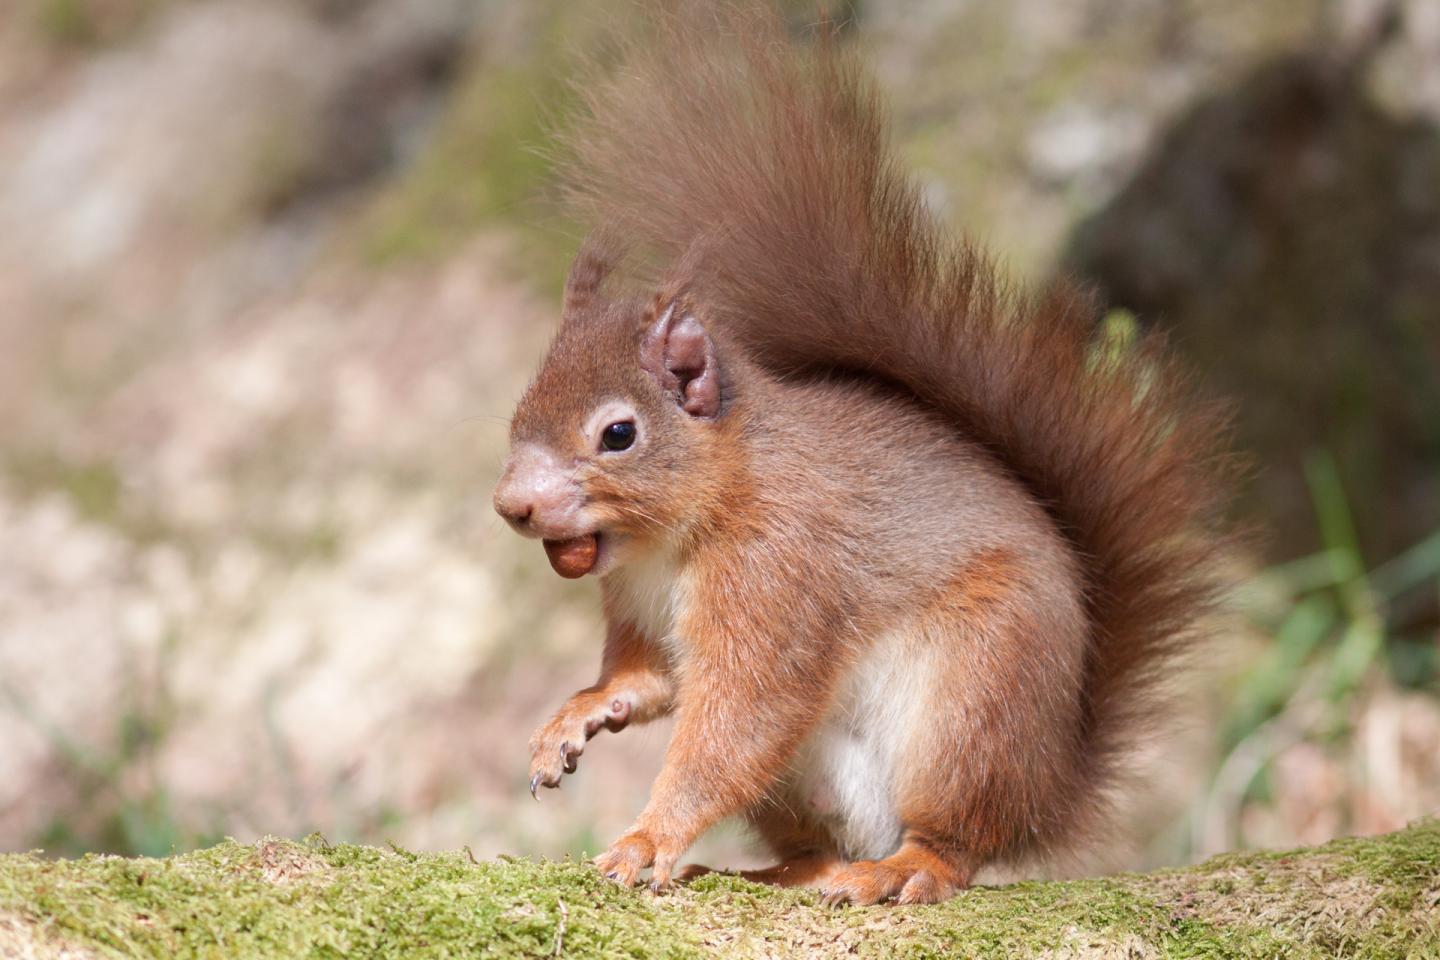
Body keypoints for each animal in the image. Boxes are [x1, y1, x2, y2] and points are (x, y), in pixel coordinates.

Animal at [491, 7, 1232, 905]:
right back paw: (770, 870)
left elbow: (737, 721)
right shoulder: (644, 615)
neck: (678, 534)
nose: (512, 506)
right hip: (807, 784)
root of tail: (1047, 792)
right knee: (820, 846)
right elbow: (647, 681)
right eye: (521, 404)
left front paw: (646, 838)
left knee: (954, 844)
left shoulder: (779, 578)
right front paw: (576, 719)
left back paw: (899, 870)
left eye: (618, 434)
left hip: (973, 704)